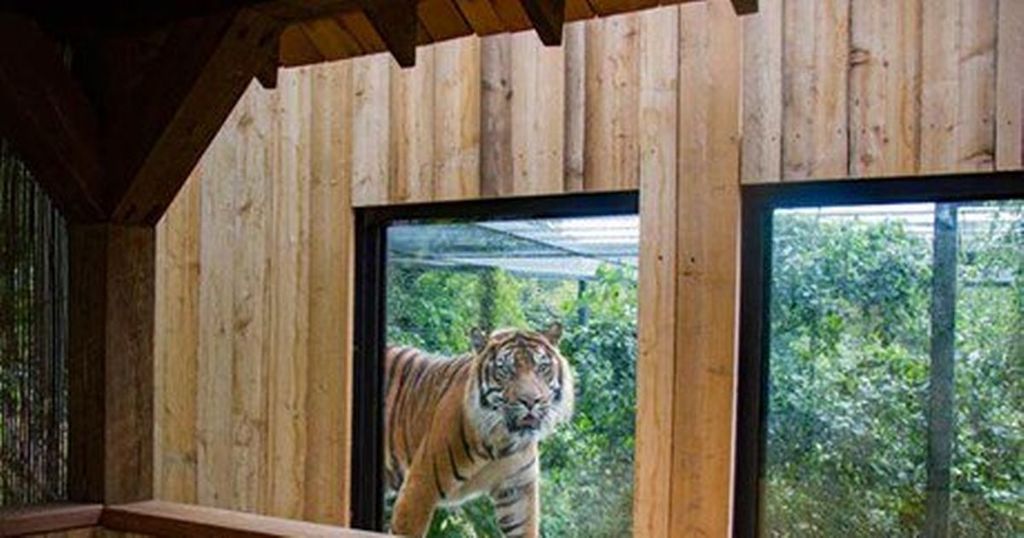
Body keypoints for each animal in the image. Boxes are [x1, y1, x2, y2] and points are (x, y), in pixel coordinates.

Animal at [384, 323, 574, 538]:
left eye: (542, 368)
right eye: (506, 370)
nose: (531, 401)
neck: (503, 442)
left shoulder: (517, 491)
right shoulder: (420, 487)